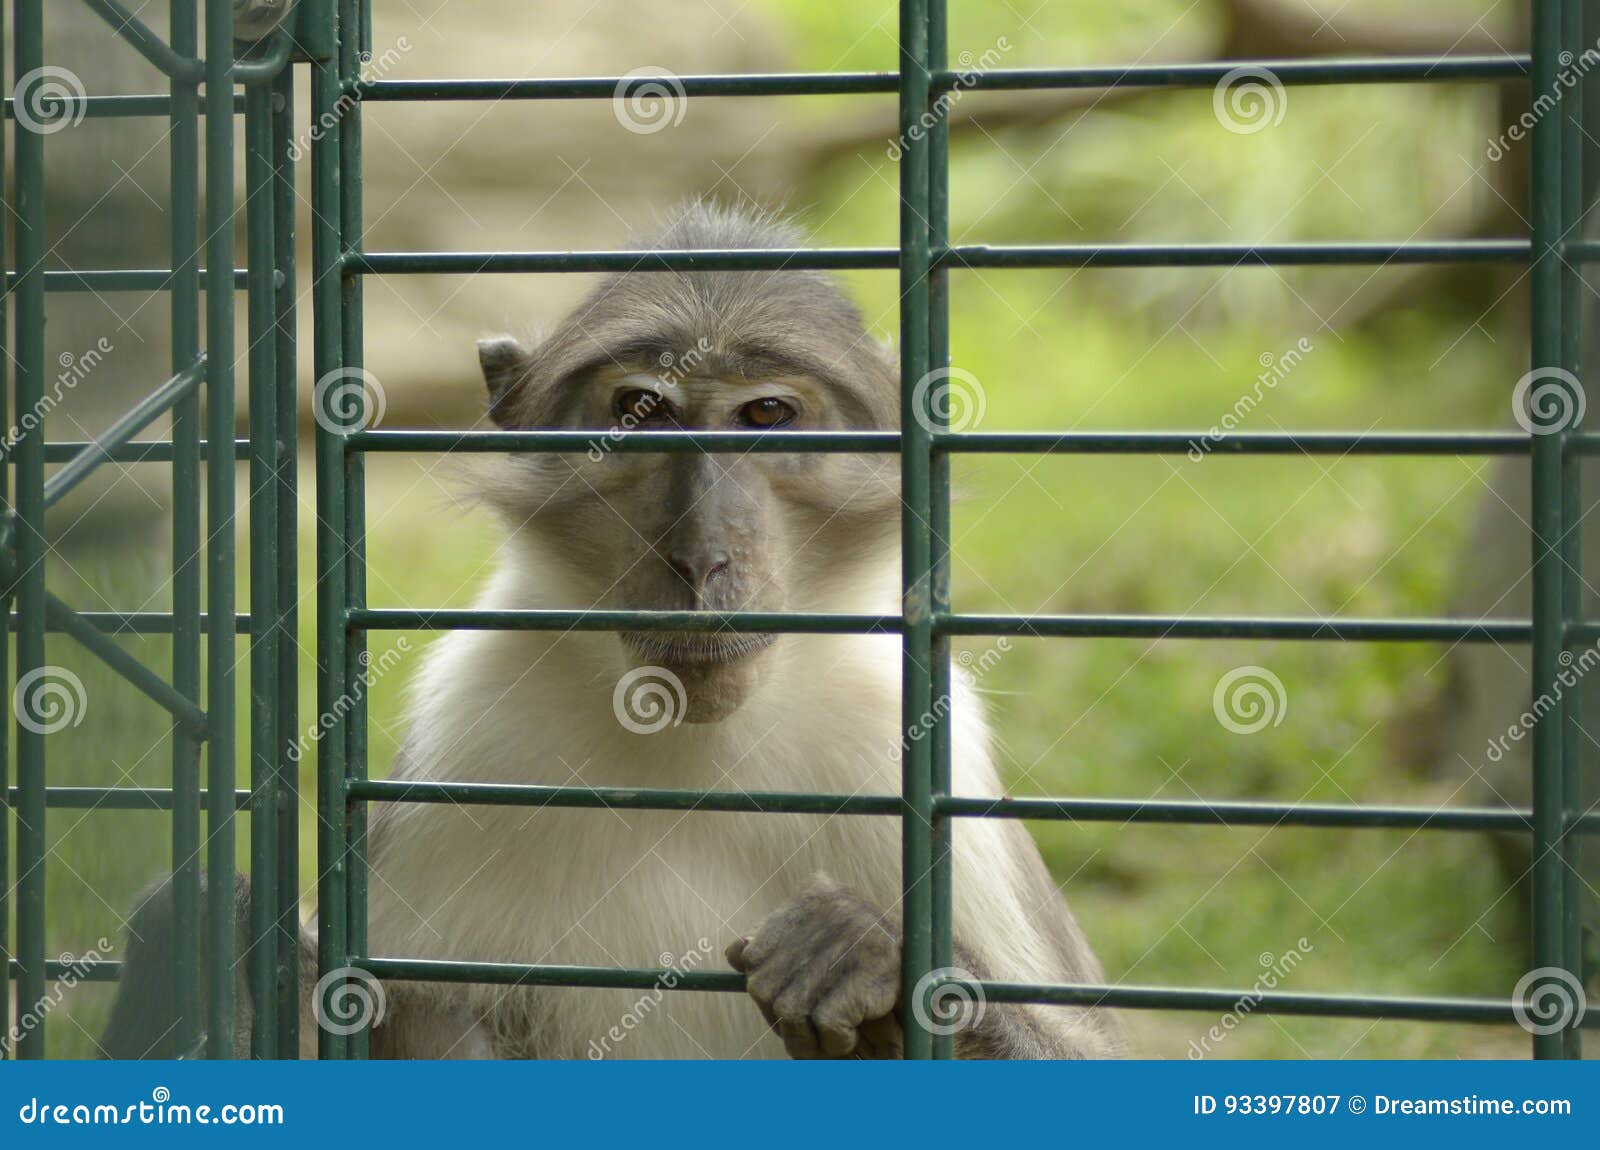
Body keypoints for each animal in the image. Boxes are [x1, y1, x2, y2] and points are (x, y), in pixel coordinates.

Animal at [102, 203, 1122, 1060]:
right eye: (640, 411)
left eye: (767, 413)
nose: (701, 557)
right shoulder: (475, 717)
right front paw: (214, 941)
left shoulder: (903, 734)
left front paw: (864, 960)